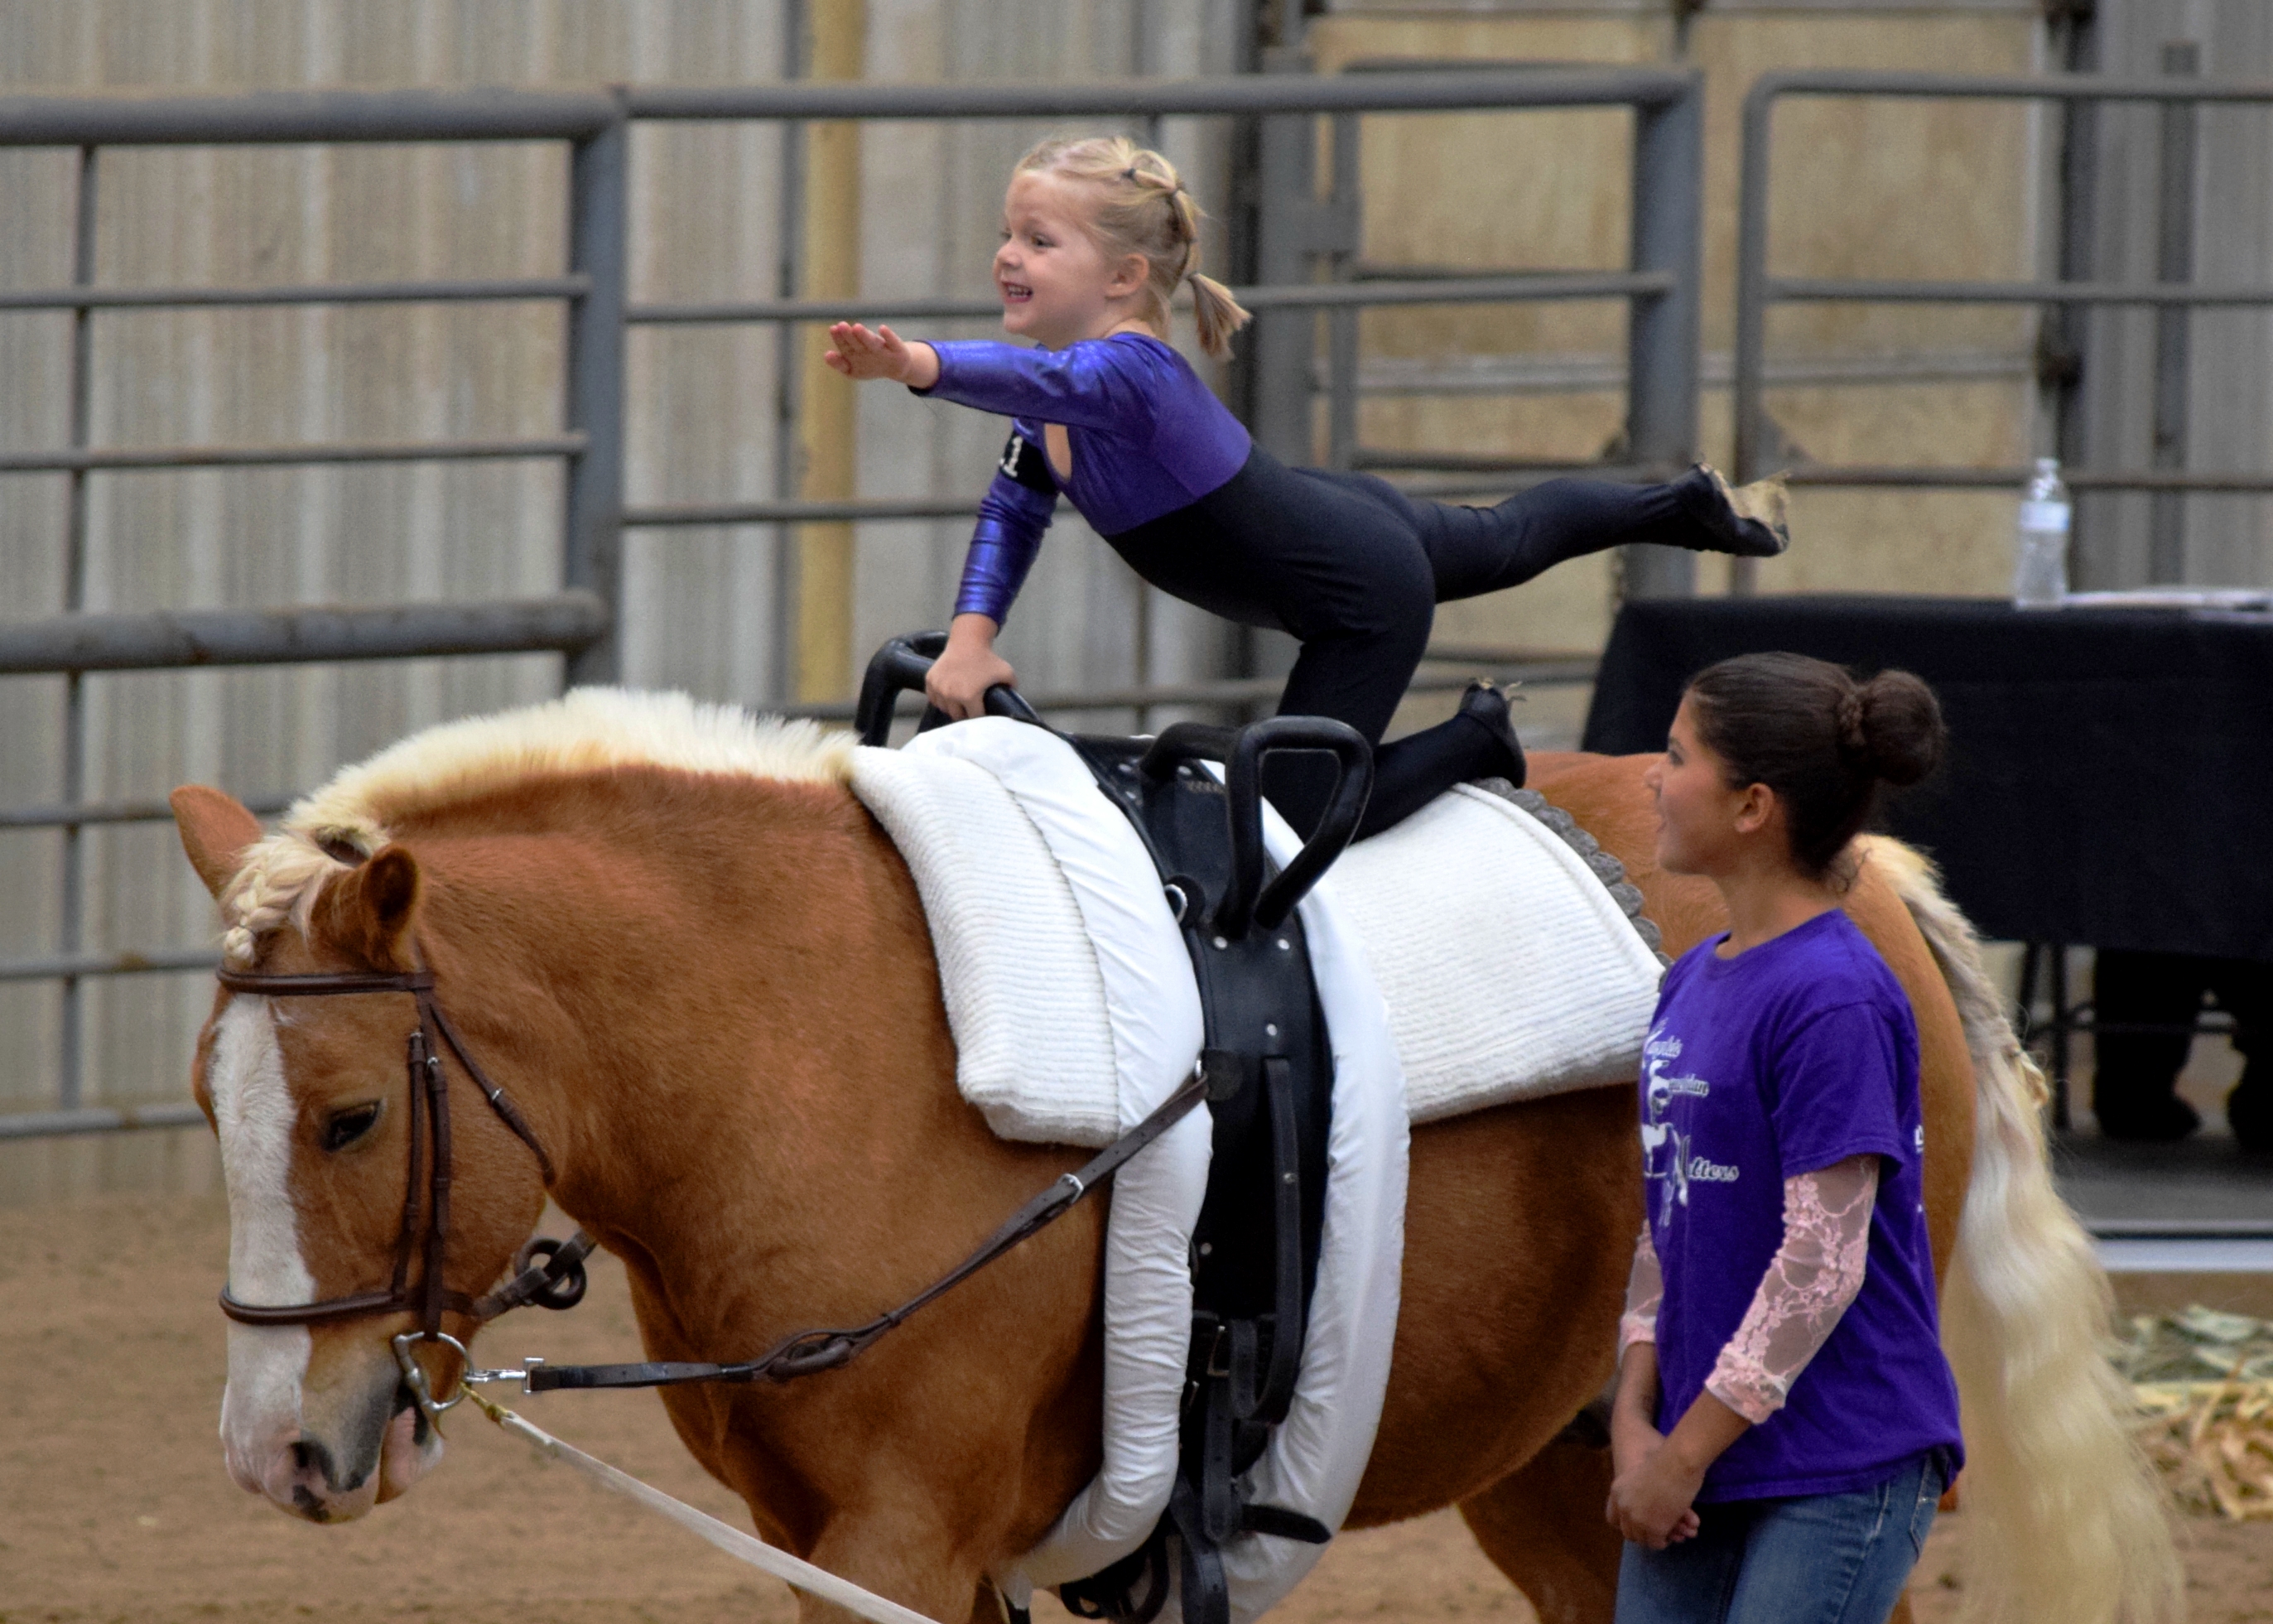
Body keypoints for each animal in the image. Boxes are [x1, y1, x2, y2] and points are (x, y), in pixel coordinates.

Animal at [168, 691, 2177, 1624]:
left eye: (349, 1115)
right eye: (207, 1103)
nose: (277, 1452)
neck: (806, 1040)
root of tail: (1870, 885)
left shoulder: (902, 1535)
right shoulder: (828, 1538)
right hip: (1571, 1469)